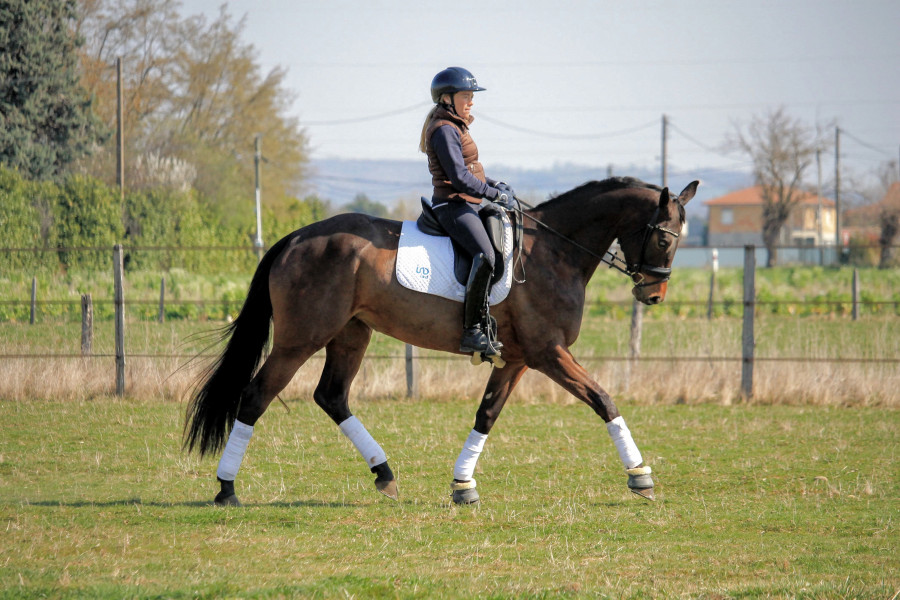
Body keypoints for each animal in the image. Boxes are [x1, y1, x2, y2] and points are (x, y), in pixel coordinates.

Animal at [183, 176, 698, 506]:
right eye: (664, 239)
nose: (653, 295)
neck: (553, 251)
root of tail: (294, 239)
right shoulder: (548, 352)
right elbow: (604, 399)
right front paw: (640, 477)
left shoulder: (516, 359)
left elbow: (486, 415)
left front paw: (462, 485)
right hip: (300, 339)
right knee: (256, 396)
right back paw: (226, 489)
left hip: (352, 333)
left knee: (331, 396)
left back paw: (385, 476)